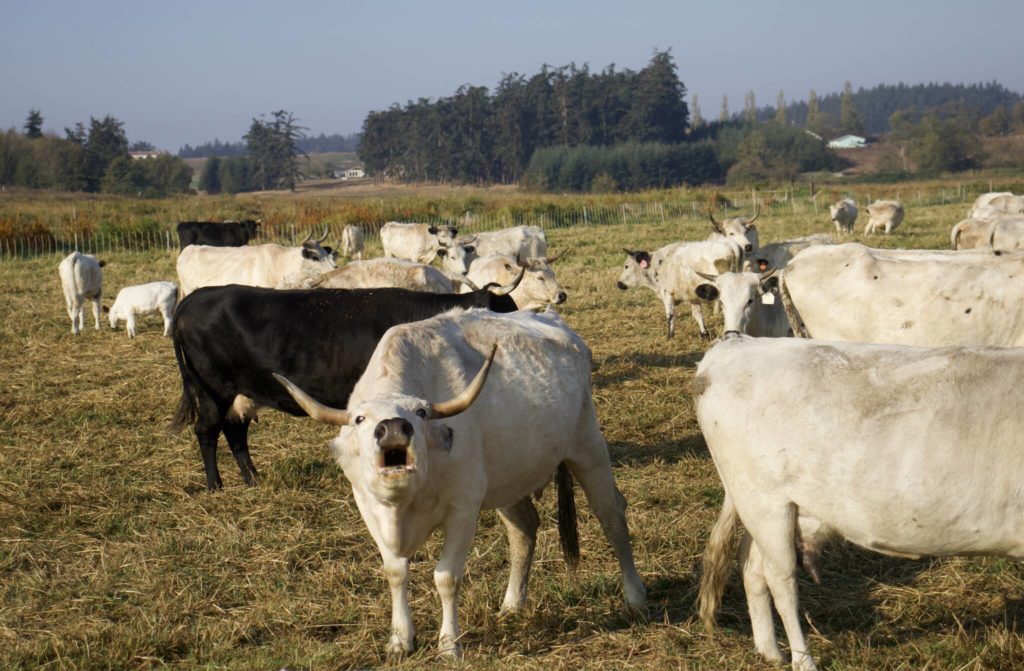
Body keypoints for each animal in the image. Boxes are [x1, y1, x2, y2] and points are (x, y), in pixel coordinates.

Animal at [169, 274, 524, 491]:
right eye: (505, 309)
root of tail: (195, 298)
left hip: (241, 392)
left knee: (235, 431)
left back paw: (253, 479)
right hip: (213, 391)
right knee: (207, 430)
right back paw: (215, 485)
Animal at [273, 308, 647, 656]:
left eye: (421, 413)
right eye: (360, 418)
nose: (393, 427)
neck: (404, 507)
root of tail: (559, 325)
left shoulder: (463, 509)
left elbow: (446, 578)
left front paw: (449, 644)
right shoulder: (368, 506)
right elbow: (395, 572)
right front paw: (400, 640)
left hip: (588, 448)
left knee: (612, 515)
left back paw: (635, 597)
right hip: (507, 481)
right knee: (524, 529)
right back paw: (512, 605)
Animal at [696, 336, 1024, 671]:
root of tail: (735, 345)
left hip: (769, 508)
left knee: (752, 566)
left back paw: (770, 652)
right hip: (766, 503)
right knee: (781, 582)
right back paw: (803, 660)